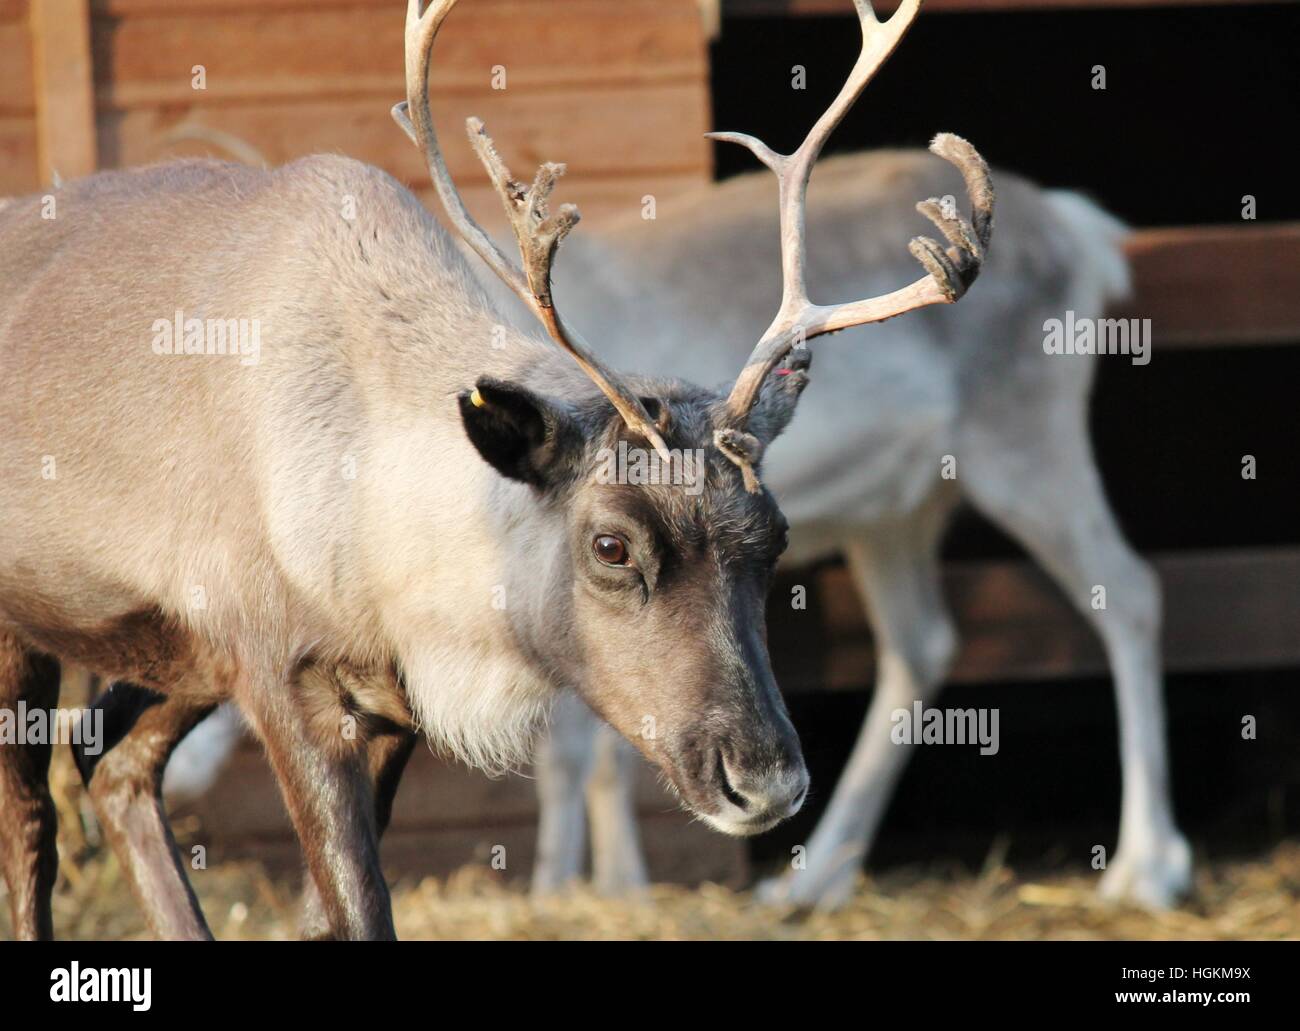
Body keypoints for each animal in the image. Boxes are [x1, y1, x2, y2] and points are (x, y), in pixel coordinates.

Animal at [0, 0, 990, 939]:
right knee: (32, 828)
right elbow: (358, 908)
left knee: (109, 758)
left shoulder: (382, 701)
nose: (769, 781)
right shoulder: (281, 675)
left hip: (177, 657)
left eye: (777, 537)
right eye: (611, 545)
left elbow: (325, 914)